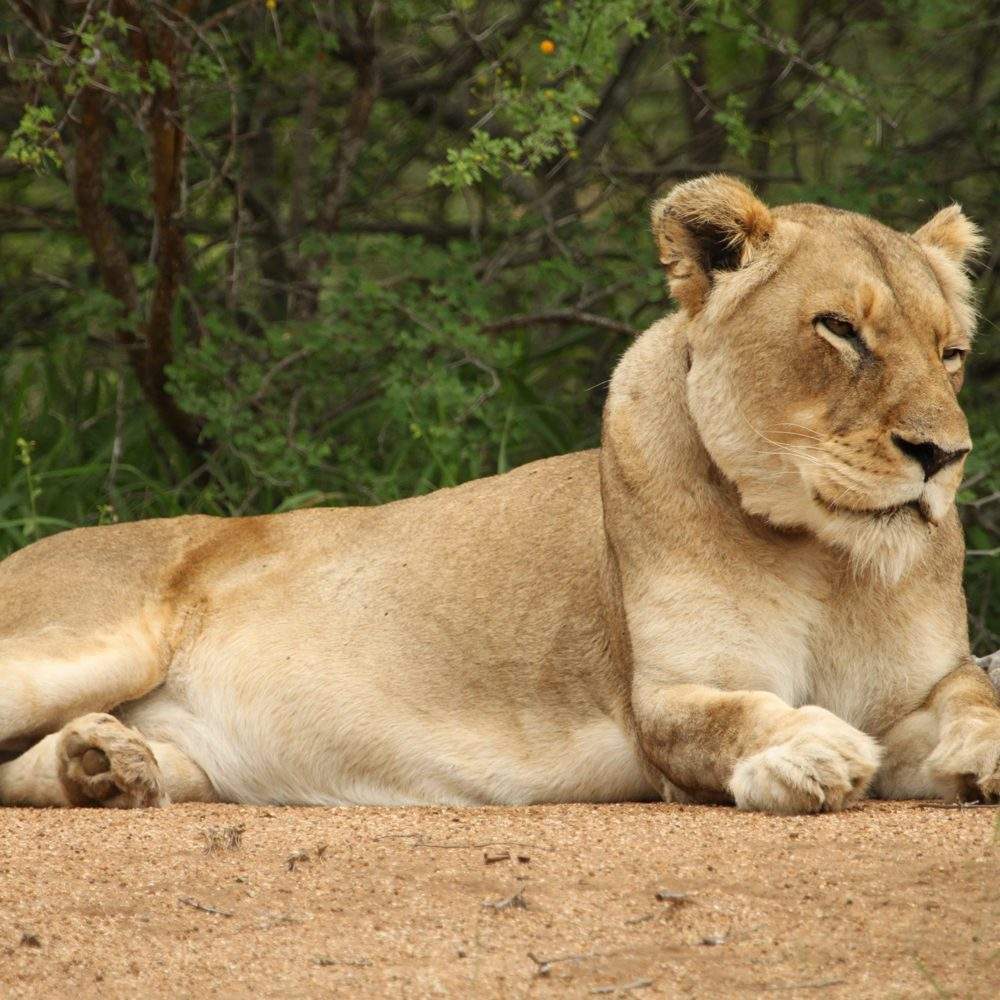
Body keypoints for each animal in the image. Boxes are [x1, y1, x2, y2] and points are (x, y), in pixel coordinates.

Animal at [2, 175, 999, 814]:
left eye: (951, 352)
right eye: (840, 330)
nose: (944, 455)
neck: (829, 559)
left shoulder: (924, 684)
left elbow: (972, 694)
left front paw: (981, 751)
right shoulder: (664, 699)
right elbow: (731, 716)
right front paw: (813, 748)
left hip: (187, 762)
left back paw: (102, 765)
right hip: (84, 646)